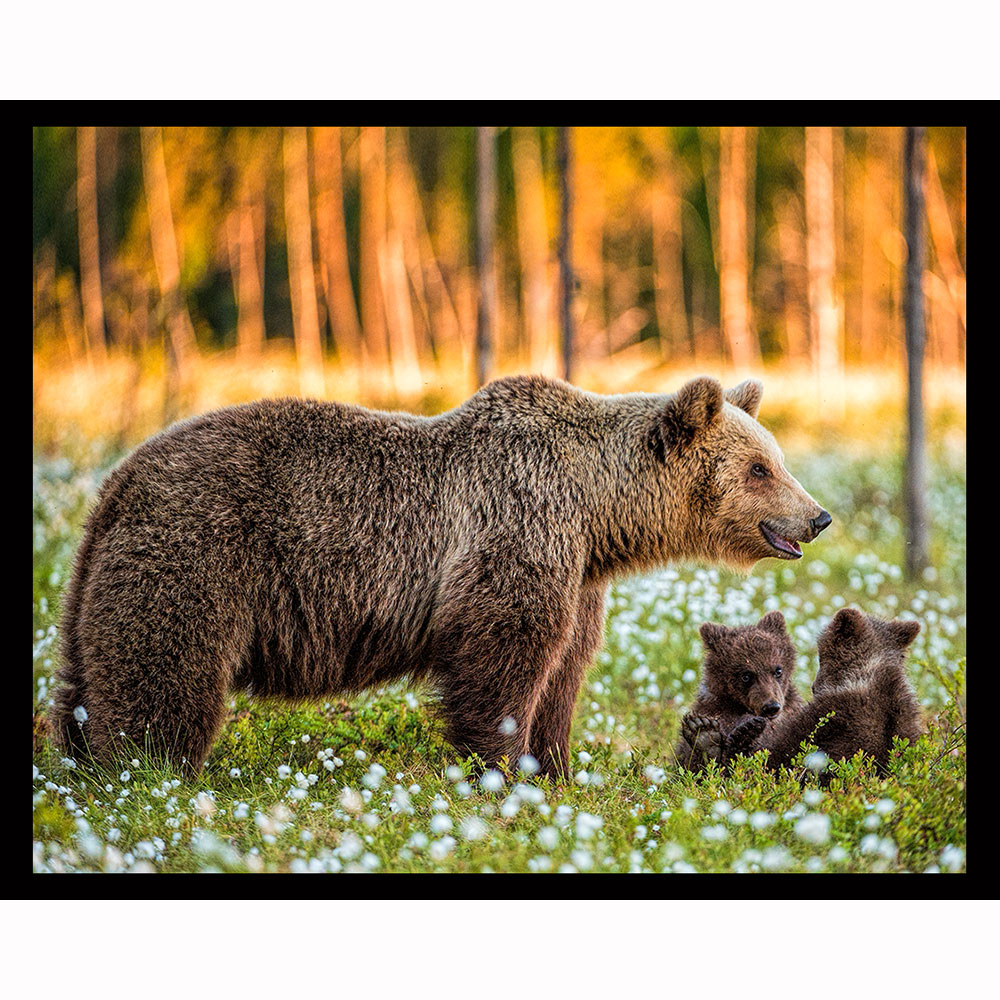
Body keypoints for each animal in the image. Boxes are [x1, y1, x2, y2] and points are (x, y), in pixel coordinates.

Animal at [674, 611, 805, 772]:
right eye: (746, 676)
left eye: (778, 670)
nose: (771, 707)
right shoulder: (714, 709)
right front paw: (704, 735)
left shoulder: (791, 711)